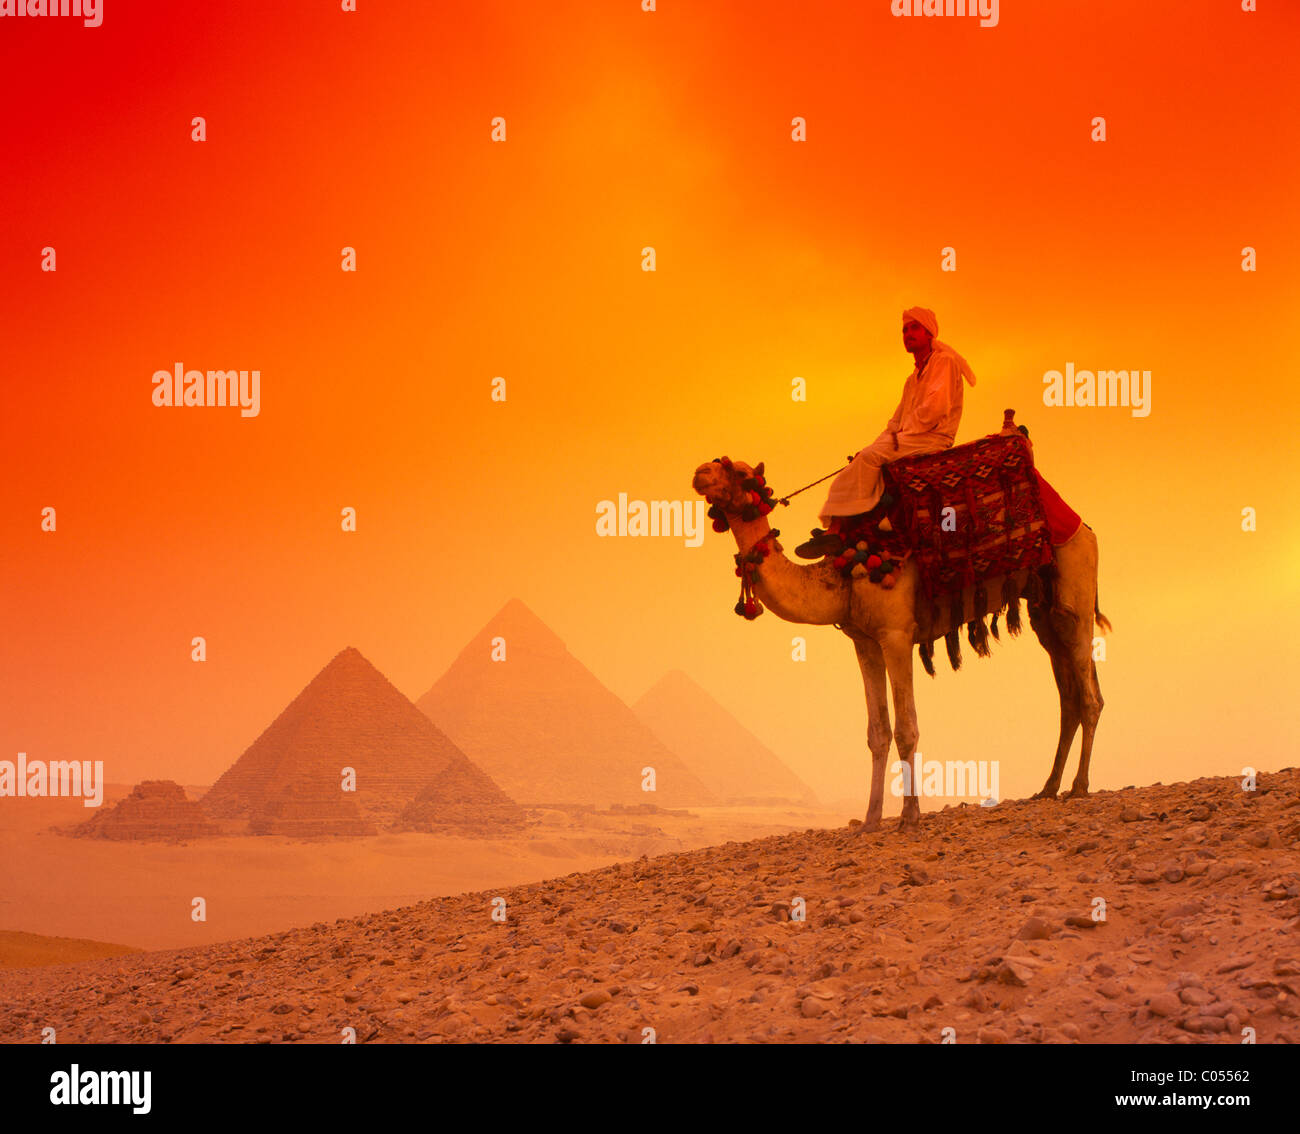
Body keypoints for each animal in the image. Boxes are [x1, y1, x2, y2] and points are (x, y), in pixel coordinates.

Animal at [691, 419, 1110, 834]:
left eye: (740, 473)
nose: (700, 472)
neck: (847, 568)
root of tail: (1084, 526)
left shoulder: (896, 634)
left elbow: (907, 728)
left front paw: (910, 815)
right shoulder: (863, 640)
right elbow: (877, 732)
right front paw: (871, 819)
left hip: (1075, 588)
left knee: (1089, 695)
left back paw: (1078, 786)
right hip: (1045, 611)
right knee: (1070, 695)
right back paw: (1048, 787)